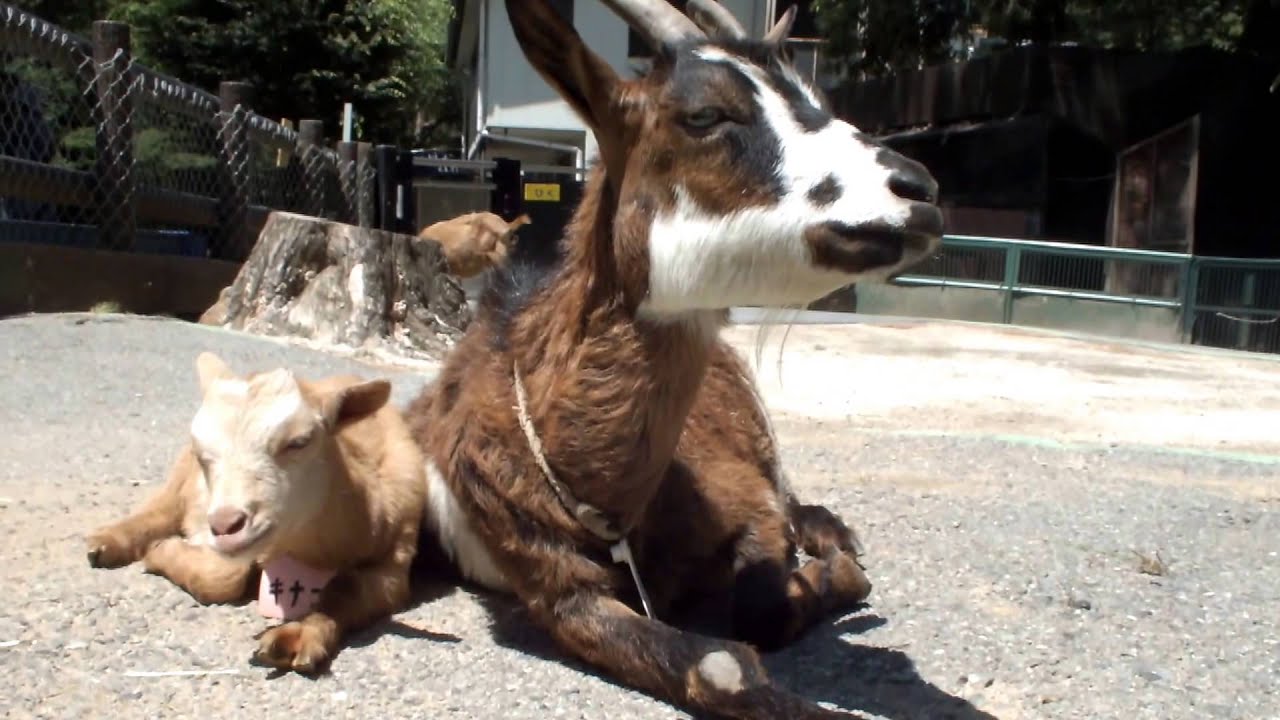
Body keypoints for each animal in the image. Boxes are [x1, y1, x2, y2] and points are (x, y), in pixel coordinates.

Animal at [84, 352, 427, 674]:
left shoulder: (394, 568)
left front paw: (296, 637)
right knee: (161, 506)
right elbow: (225, 576)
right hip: (181, 477)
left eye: (299, 442)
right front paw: (160, 550)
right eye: (202, 455)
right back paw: (107, 542)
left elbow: (346, 590)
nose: (225, 524)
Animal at [404, 2, 943, 718]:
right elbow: (720, 662)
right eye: (705, 114)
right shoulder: (554, 587)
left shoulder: (744, 499)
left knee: (789, 490)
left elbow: (763, 607)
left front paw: (839, 574)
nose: (919, 189)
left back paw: (831, 533)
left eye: (814, 98)